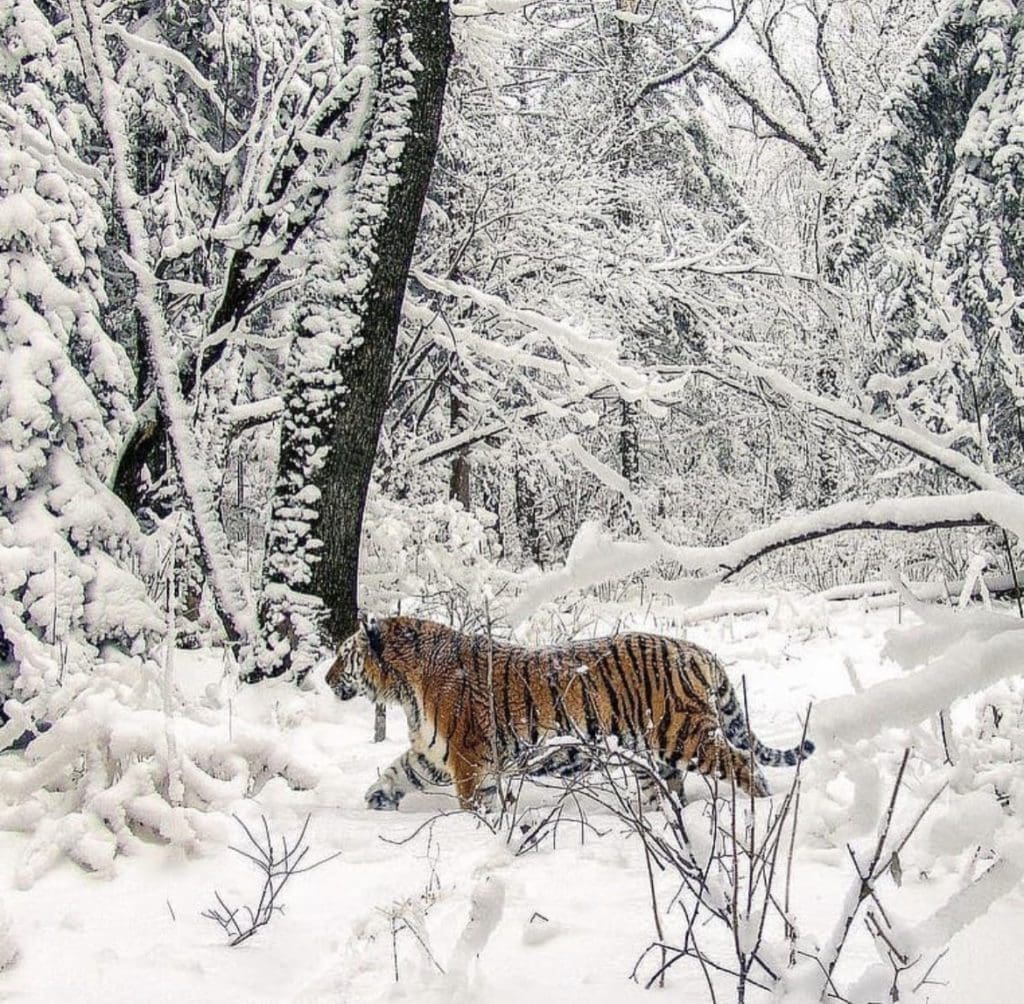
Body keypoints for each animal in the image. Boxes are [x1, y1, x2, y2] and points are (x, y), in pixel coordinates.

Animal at [325, 614, 814, 810]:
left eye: (343, 655)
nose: (326, 679)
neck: (404, 689)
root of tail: (693, 649)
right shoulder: (432, 753)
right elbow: (398, 771)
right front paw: (377, 798)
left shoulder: (467, 758)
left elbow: (474, 803)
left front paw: (481, 827)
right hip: (652, 754)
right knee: (665, 790)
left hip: (685, 734)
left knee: (744, 763)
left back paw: (764, 805)